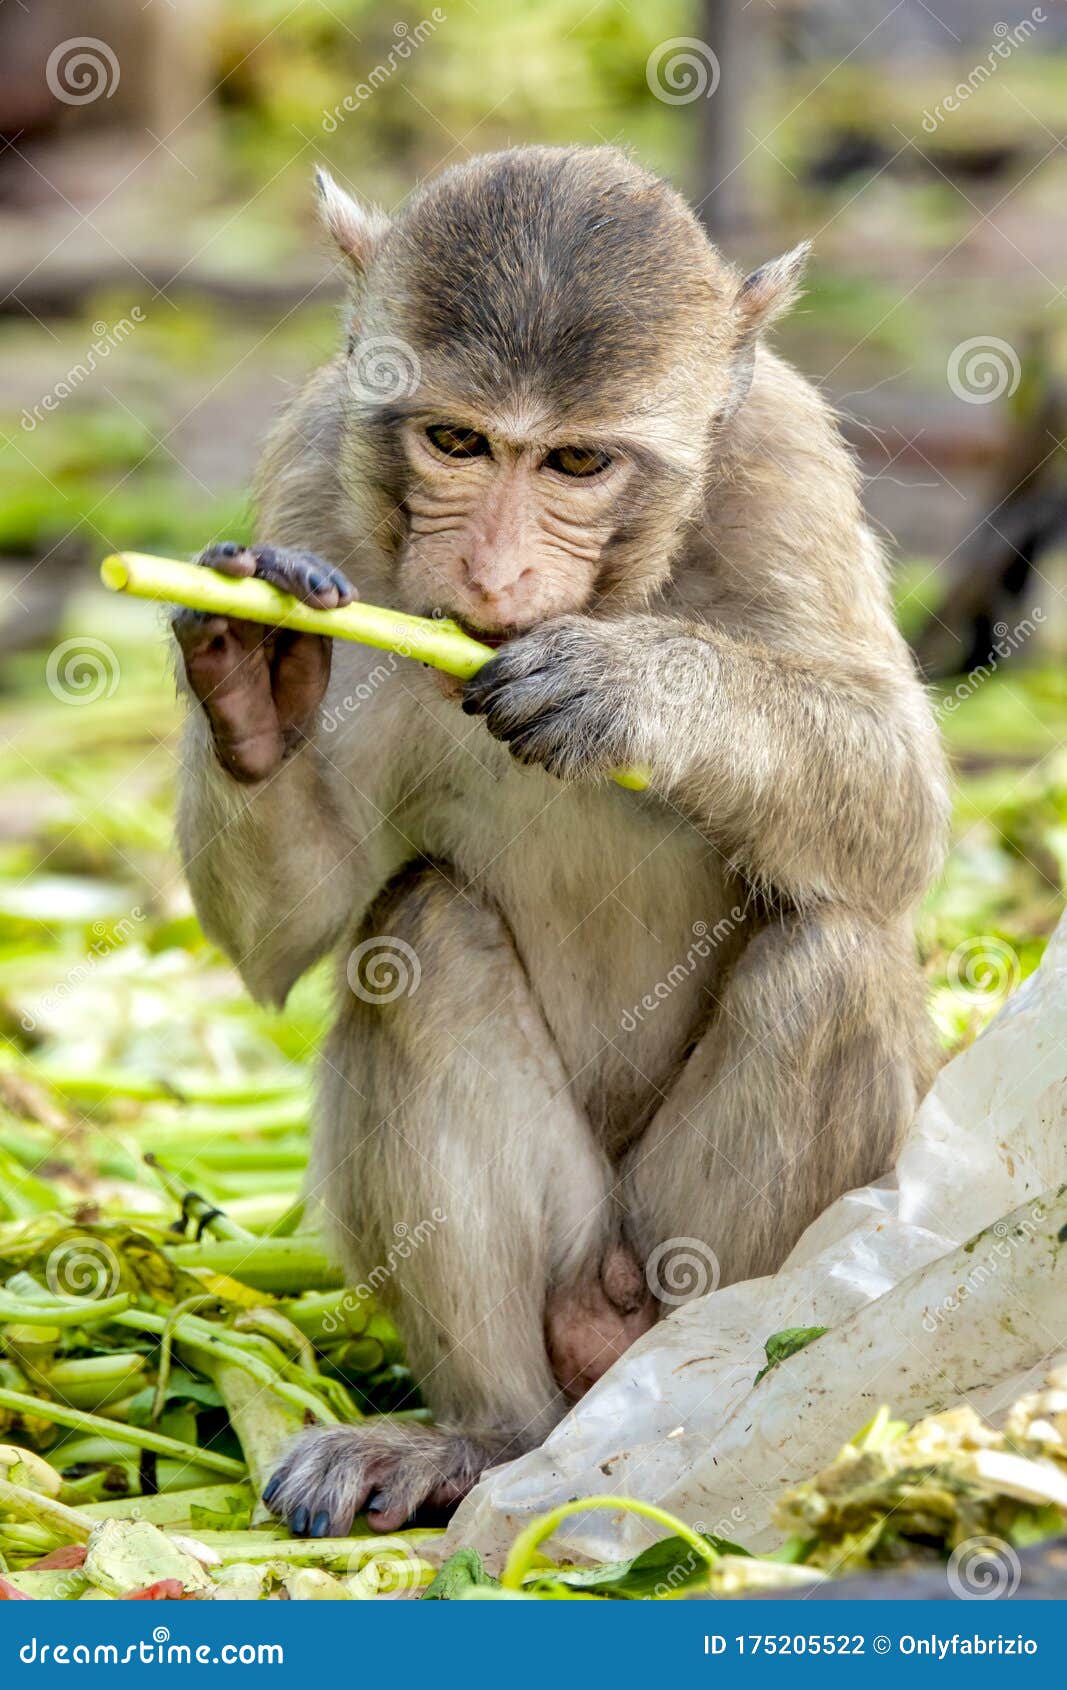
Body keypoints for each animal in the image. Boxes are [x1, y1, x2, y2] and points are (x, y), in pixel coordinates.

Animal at [172, 146, 948, 1539]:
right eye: (455, 441)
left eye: (576, 462)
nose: (491, 572)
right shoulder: (312, 468)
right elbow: (286, 934)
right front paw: (253, 672)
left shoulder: (782, 463)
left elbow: (898, 799)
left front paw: (628, 685)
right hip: (570, 1263)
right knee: (417, 932)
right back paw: (489, 1440)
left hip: (675, 1248)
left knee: (834, 953)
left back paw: (696, 1415)